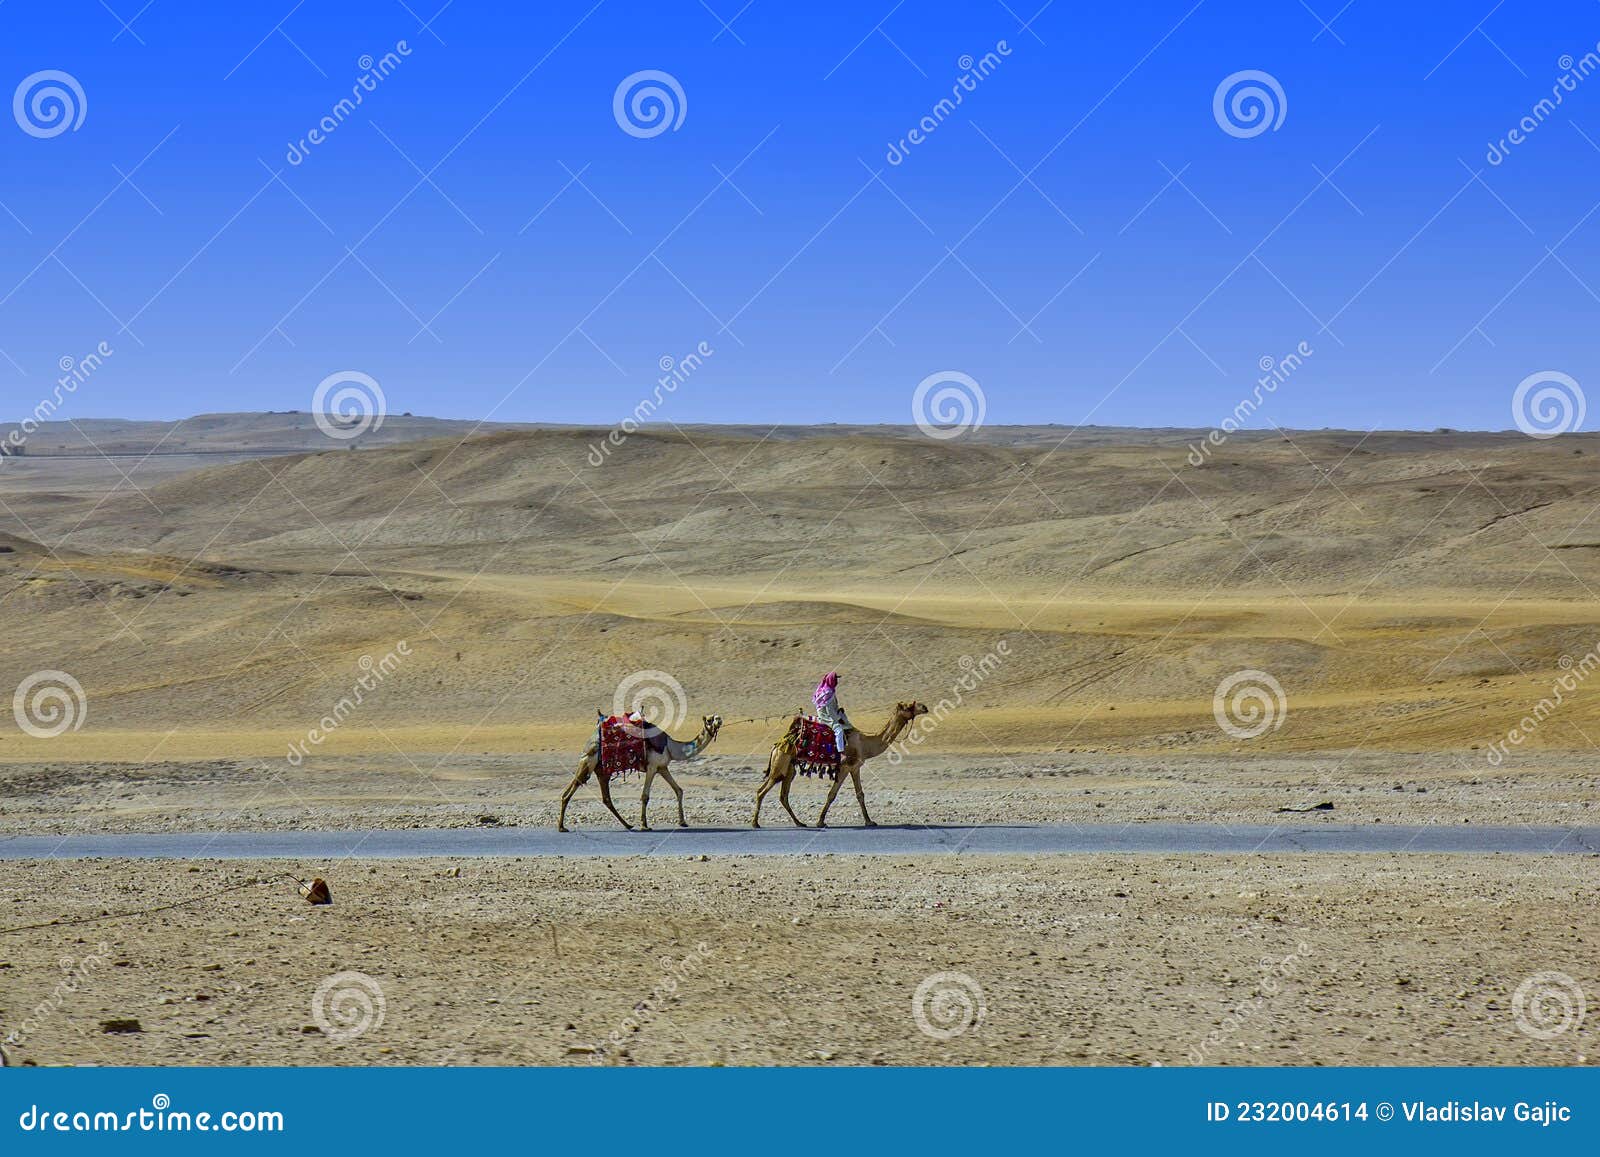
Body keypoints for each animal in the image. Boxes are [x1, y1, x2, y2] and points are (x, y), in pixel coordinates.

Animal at [558, 714, 722, 832]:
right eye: (709, 719)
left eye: (716, 716)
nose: (720, 719)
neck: (670, 746)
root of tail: (588, 742)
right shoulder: (652, 767)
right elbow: (645, 796)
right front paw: (645, 825)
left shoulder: (662, 767)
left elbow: (678, 790)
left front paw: (683, 822)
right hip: (588, 761)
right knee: (572, 789)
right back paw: (562, 827)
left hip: (601, 770)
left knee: (605, 798)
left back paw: (628, 825)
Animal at [752, 700, 928, 829]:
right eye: (908, 706)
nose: (924, 707)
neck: (865, 743)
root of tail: (776, 745)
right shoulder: (845, 766)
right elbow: (832, 794)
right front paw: (820, 822)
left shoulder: (855, 767)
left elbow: (860, 794)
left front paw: (869, 821)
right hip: (780, 764)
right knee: (762, 791)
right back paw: (755, 823)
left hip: (789, 768)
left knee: (783, 795)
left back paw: (799, 823)